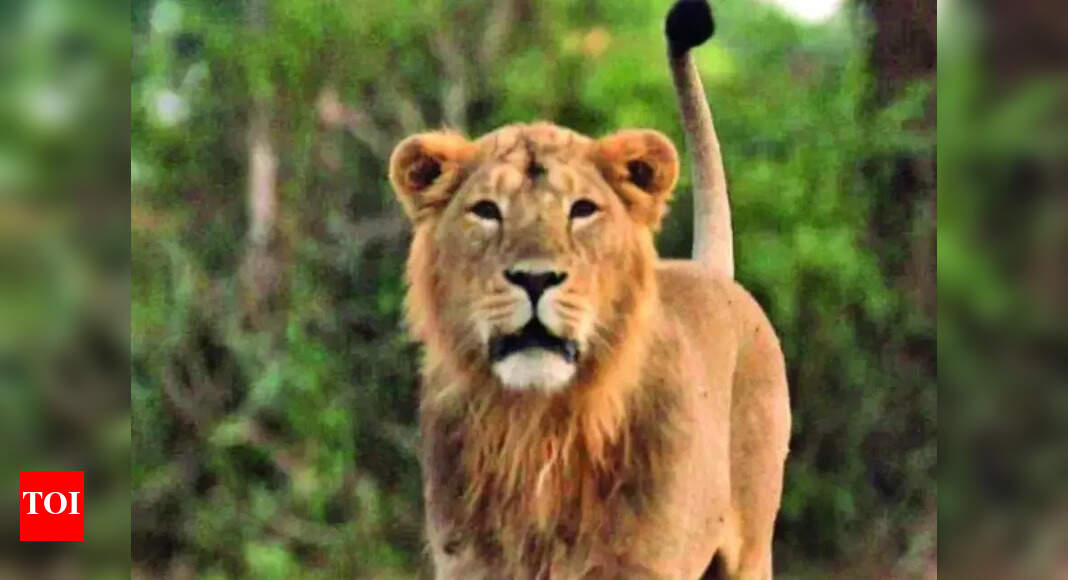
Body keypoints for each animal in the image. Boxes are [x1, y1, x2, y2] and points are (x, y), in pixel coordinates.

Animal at [386, 1, 790, 578]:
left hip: (751, 549)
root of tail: (713, 272)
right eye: (486, 210)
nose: (535, 278)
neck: (536, 429)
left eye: (582, 210)